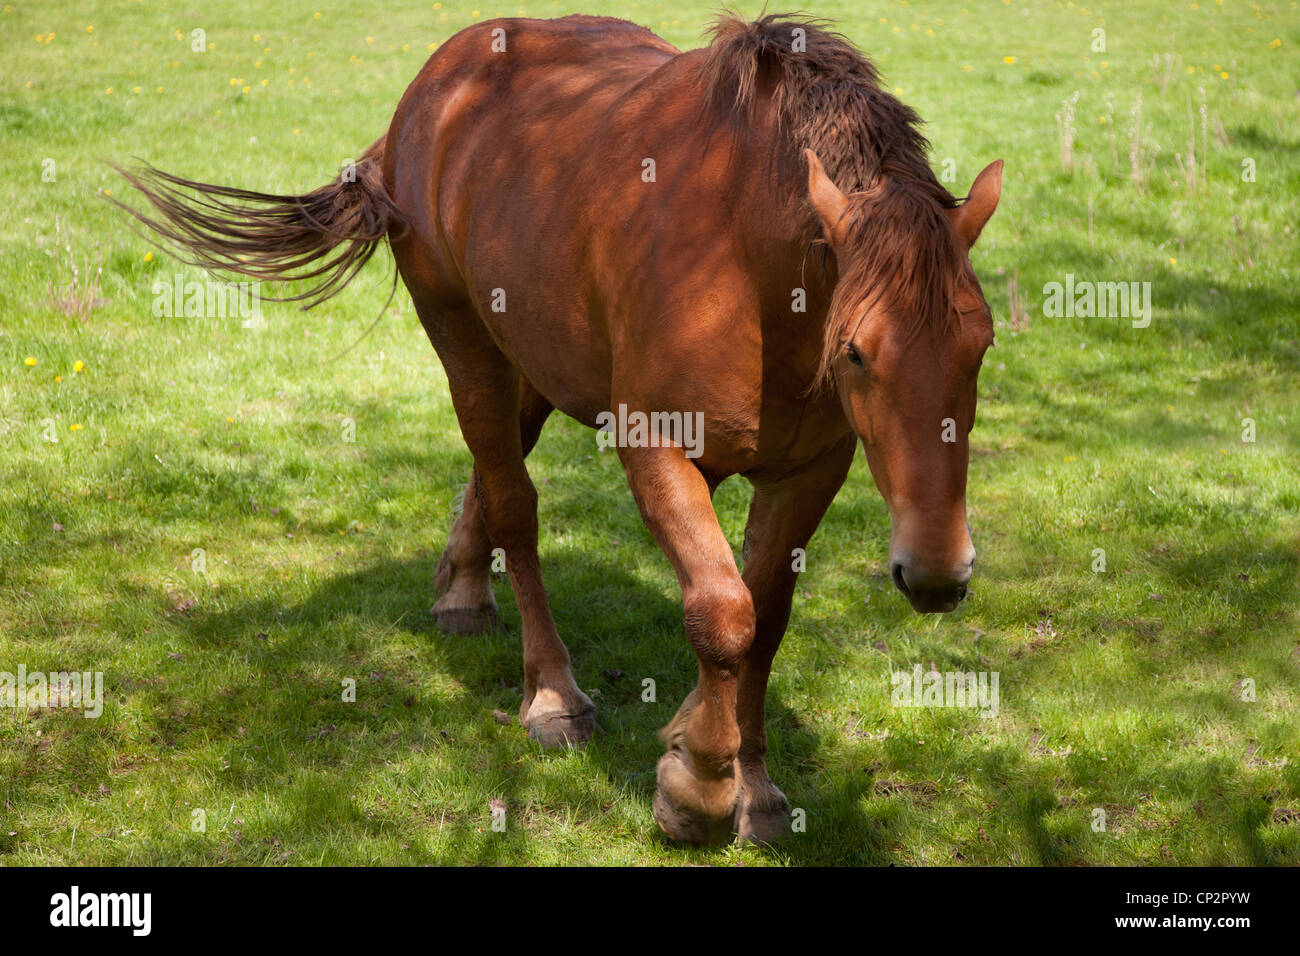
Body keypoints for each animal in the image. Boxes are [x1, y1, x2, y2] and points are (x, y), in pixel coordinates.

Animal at [114, 12, 1002, 846]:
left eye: (983, 343)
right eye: (856, 352)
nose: (938, 574)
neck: (747, 266)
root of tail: (432, 88)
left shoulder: (810, 469)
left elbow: (766, 618)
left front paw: (747, 782)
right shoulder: (654, 445)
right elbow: (724, 615)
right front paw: (697, 790)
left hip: (538, 363)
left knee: (493, 475)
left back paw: (463, 590)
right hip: (465, 341)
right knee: (514, 501)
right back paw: (551, 695)